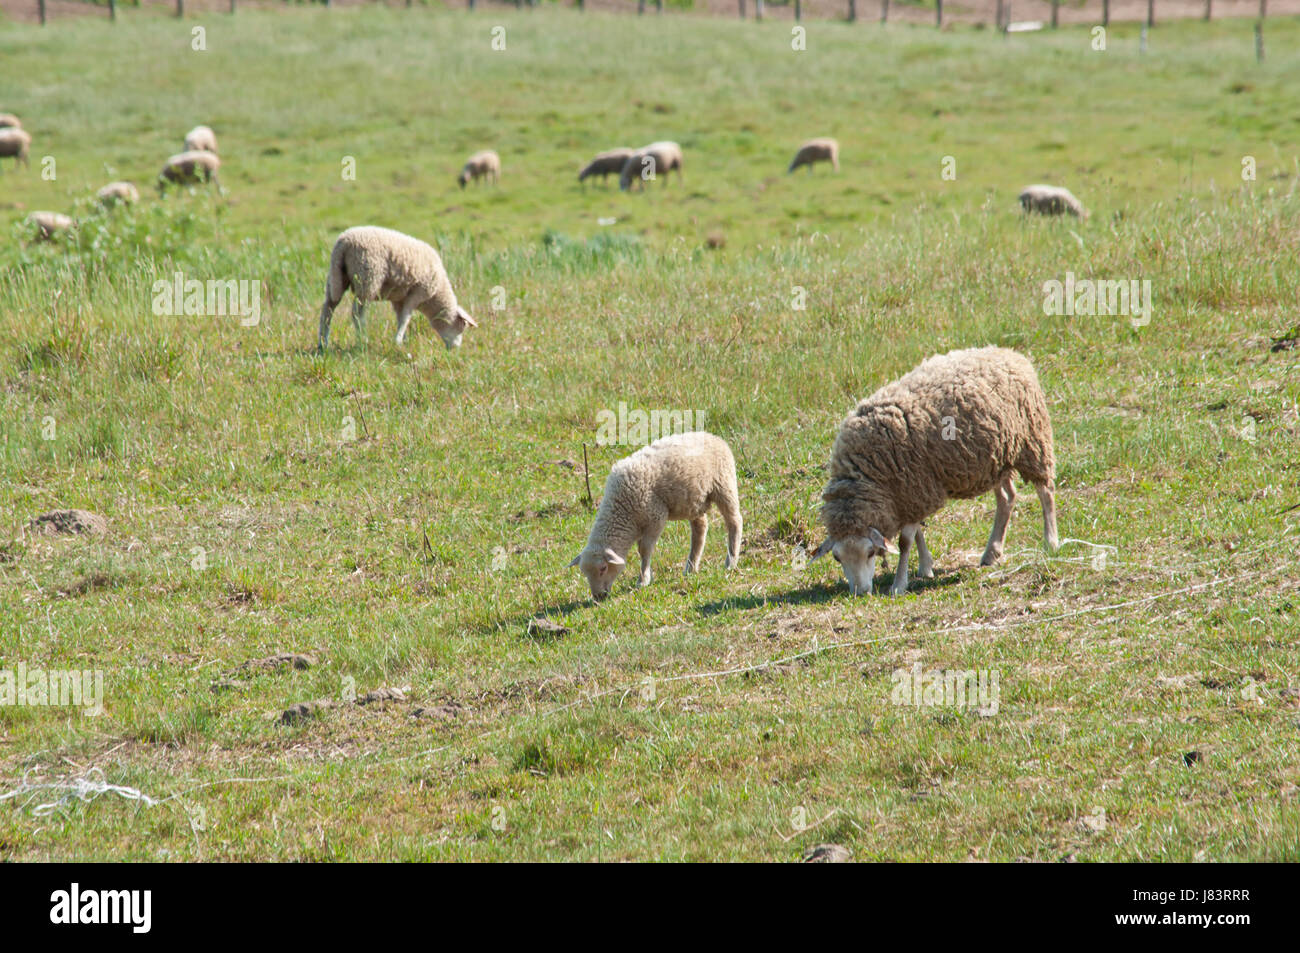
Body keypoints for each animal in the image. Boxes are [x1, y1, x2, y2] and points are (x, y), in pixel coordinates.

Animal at [317, 225, 478, 352]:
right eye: (461, 326)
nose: (455, 349)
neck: (435, 296)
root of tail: (344, 242)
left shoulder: (398, 299)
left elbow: (400, 318)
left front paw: (403, 340)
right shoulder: (417, 293)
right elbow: (406, 318)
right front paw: (398, 341)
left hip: (336, 277)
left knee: (328, 309)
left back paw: (323, 343)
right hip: (368, 278)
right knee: (357, 313)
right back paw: (363, 340)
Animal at [569, 431, 742, 600]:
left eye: (603, 568)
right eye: (585, 573)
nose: (598, 596)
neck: (622, 509)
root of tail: (714, 437)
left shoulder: (656, 517)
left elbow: (644, 550)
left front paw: (643, 580)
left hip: (724, 484)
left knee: (734, 521)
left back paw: (731, 562)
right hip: (693, 501)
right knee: (700, 529)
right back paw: (691, 568)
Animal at [811, 346, 1059, 596]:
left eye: (870, 552)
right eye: (837, 558)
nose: (860, 593)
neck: (867, 474)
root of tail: (1008, 352)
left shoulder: (913, 487)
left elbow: (905, 542)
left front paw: (899, 584)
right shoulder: (909, 492)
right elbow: (917, 533)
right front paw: (925, 567)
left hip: (1032, 440)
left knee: (1045, 491)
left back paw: (1051, 542)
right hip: (997, 458)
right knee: (1007, 498)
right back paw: (992, 552)